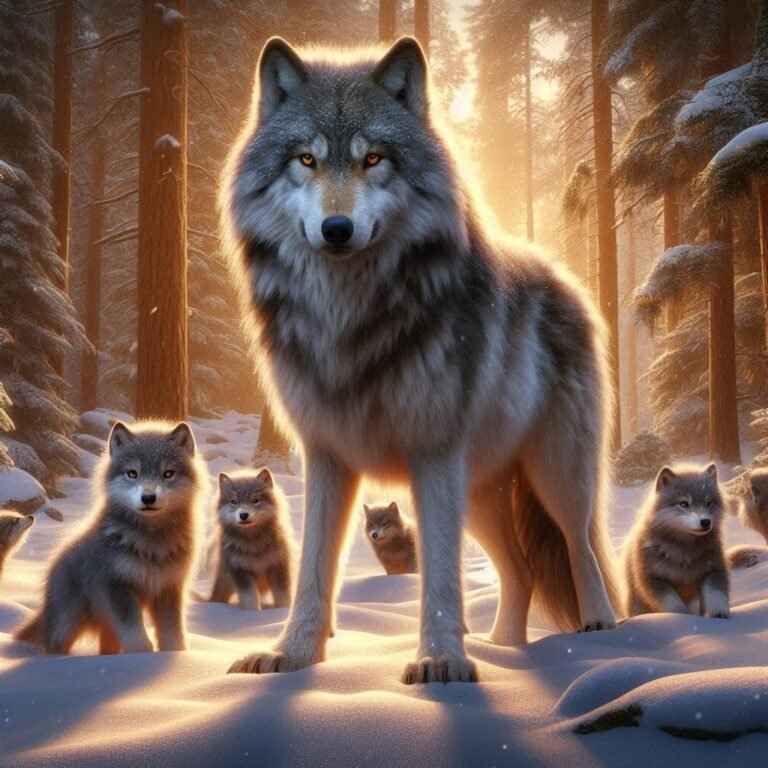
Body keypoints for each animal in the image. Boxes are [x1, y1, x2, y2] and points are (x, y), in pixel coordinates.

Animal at [15, 421, 205, 654]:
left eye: (168, 474)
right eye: (132, 473)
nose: (148, 497)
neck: (151, 544)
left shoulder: (169, 589)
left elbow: (173, 636)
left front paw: (176, 657)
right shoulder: (116, 587)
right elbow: (134, 635)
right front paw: (142, 656)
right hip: (66, 626)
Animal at [206, 468, 293, 610]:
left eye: (255, 500)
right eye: (234, 502)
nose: (243, 515)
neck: (254, 544)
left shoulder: (278, 566)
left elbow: (283, 597)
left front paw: (283, 611)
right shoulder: (240, 571)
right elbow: (250, 599)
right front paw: (253, 613)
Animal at [221, 36, 619, 683]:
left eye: (373, 159)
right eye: (306, 160)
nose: (337, 228)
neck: (350, 318)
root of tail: (566, 278)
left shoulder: (434, 453)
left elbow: (439, 575)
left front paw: (441, 661)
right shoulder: (326, 454)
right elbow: (313, 572)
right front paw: (293, 655)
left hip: (555, 473)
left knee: (580, 548)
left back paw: (600, 637)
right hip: (480, 492)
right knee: (524, 569)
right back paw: (508, 650)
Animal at [624, 464, 730, 618]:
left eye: (708, 503)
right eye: (684, 504)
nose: (706, 522)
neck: (684, 550)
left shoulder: (713, 570)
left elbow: (716, 595)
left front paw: (719, 613)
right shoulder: (654, 580)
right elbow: (675, 606)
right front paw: (682, 618)